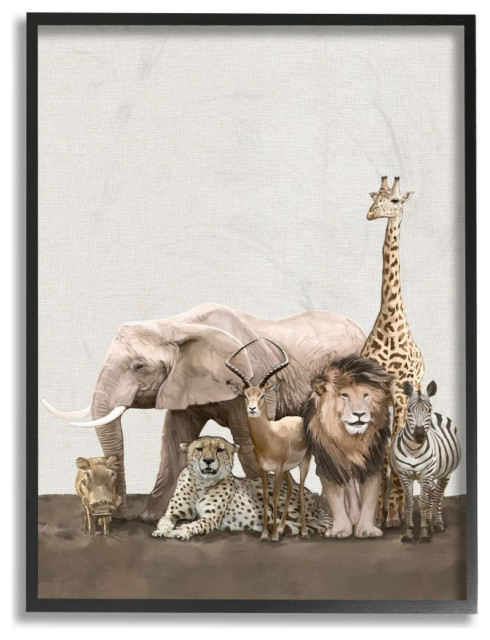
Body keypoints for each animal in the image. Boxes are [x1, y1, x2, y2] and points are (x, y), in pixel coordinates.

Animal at [42, 303, 366, 523]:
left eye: (139, 366)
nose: (122, 513)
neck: (176, 325)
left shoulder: (253, 379)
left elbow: (248, 441)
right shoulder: (183, 382)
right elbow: (175, 439)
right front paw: (153, 518)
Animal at [302, 354, 392, 539]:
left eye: (366, 395)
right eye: (344, 395)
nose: (359, 414)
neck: (350, 440)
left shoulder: (371, 463)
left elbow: (370, 498)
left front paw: (366, 529)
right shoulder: (329, 465)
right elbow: (336, 499)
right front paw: (341, 529)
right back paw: (353, 516)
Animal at [389, 380, 461, 543]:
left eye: (428, 409)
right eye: (409, 410)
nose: (420, 435)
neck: (413, 450)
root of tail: (438, 415)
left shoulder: (426, 475)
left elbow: (422, 502)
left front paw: (422, 533)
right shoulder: (405, 475)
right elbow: (409, 502)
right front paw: (408, 533)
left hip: (444, 474)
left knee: (437, 495)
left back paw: (437, 524)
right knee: (431, 494)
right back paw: (428, 522)